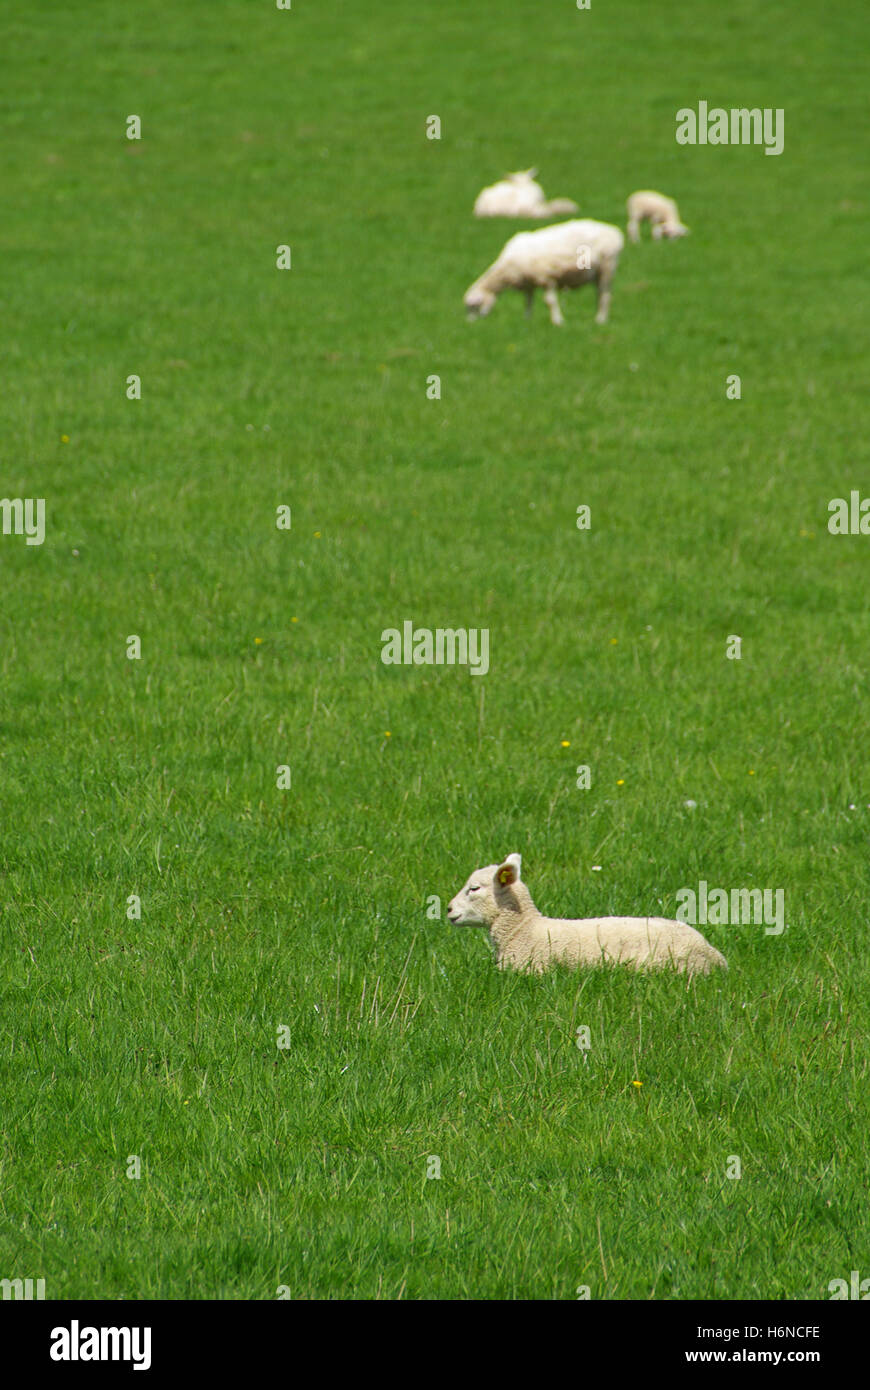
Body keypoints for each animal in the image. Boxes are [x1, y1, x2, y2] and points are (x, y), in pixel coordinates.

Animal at [464, 219, 624, 326]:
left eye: (473, 306)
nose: (470, 324)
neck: (506, 271)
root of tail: (614, 232)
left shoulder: (546, 278)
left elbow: (550, 301)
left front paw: (558, 321)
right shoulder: (528, 282)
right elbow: (528, 302)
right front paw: (527, 320)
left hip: (607, 267)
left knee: (605, 294)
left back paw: (601, 320)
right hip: (598, 273)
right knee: (599, 294)